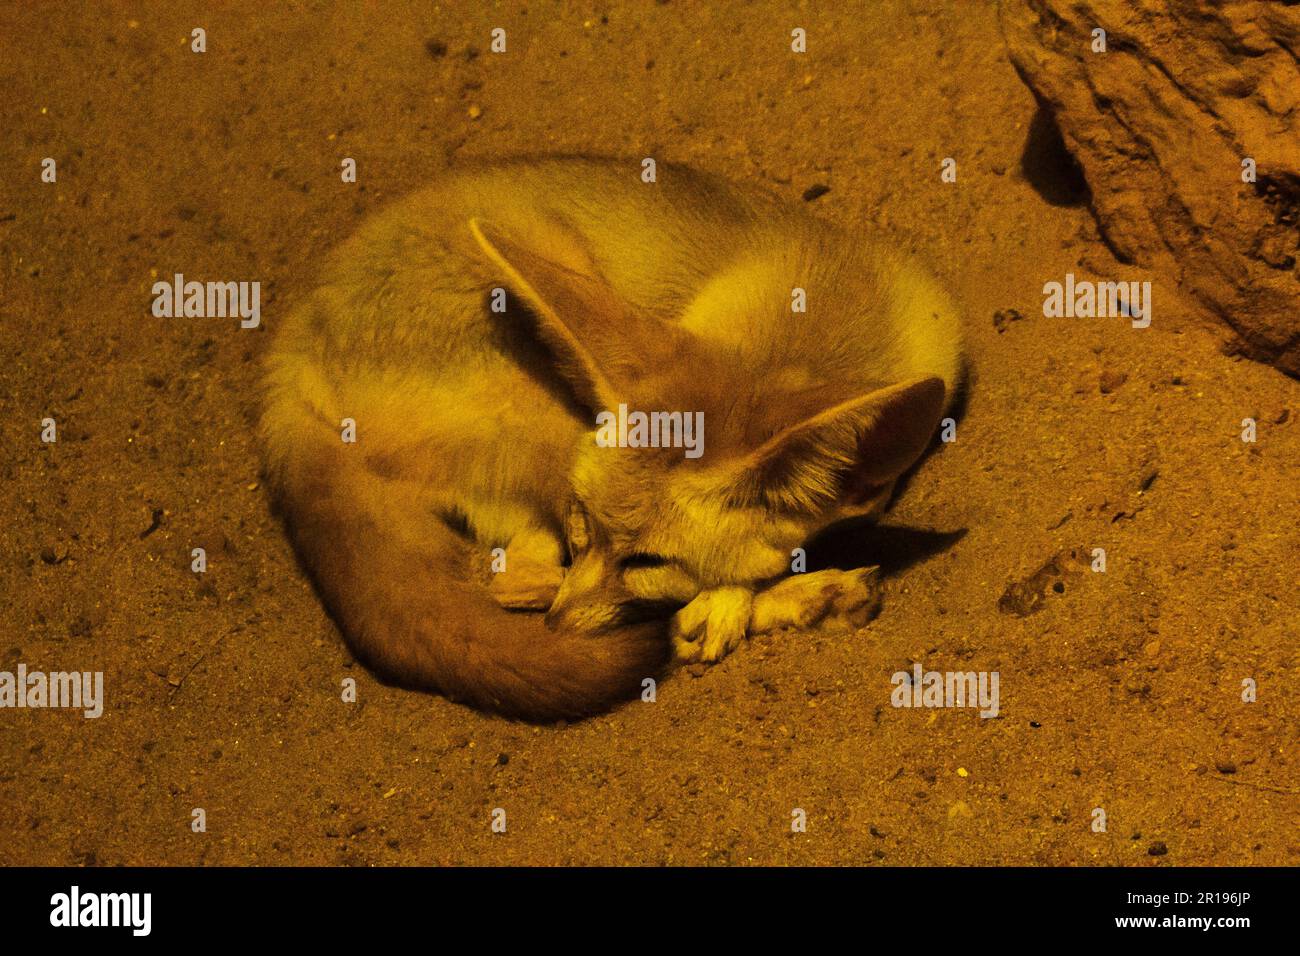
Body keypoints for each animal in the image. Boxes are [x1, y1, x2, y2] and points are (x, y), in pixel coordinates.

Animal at [261, 156, 963, 721]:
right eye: (583, 521)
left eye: (646, 561)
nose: (558, 628)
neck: (817, 315)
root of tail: (287, 355)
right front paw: (737, 600)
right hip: (547, 384)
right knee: (515, 586)